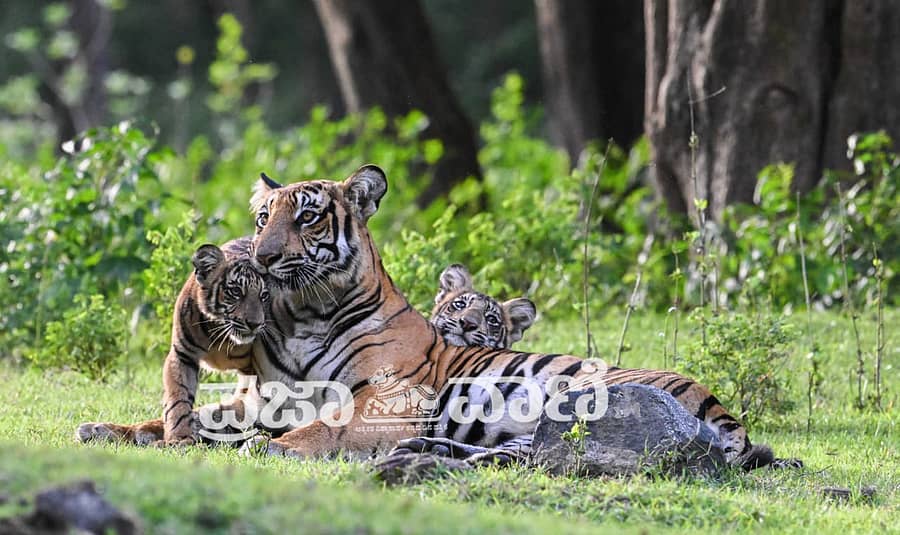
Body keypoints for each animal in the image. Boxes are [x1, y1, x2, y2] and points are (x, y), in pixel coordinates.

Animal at [76, 240, 269, 446]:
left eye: (264, 295)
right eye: (235, 292)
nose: (255, 324)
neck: (220, 336)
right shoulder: (182, 355)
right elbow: (178, 400)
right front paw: (180, 436)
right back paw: (96, 430)